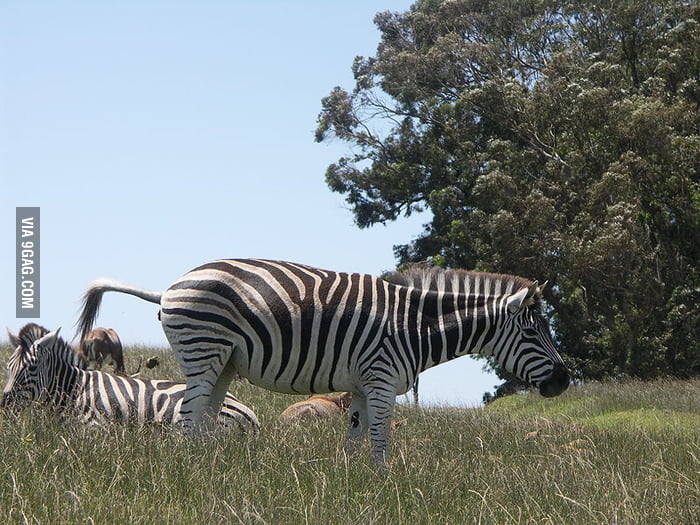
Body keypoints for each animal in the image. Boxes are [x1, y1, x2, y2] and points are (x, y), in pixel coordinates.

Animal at [2, 323, 260, 434]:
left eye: (32, 367)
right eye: (8, 366)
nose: (5, 406)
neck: (75, 389)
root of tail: (251, 415)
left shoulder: (97, 427)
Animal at [77, 259, 569, 465]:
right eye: (533, 333)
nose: (564, 381)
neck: (415, 326)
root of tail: (170, 287)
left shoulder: (361, 386)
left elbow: (354, 441)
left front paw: (351, 487)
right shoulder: (381, 379)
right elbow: (380, 442)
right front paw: (383, 486)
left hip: (224, 363)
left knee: (202, 423)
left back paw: (209, 474)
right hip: (203, 351)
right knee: (186, 422)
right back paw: (191, 474)